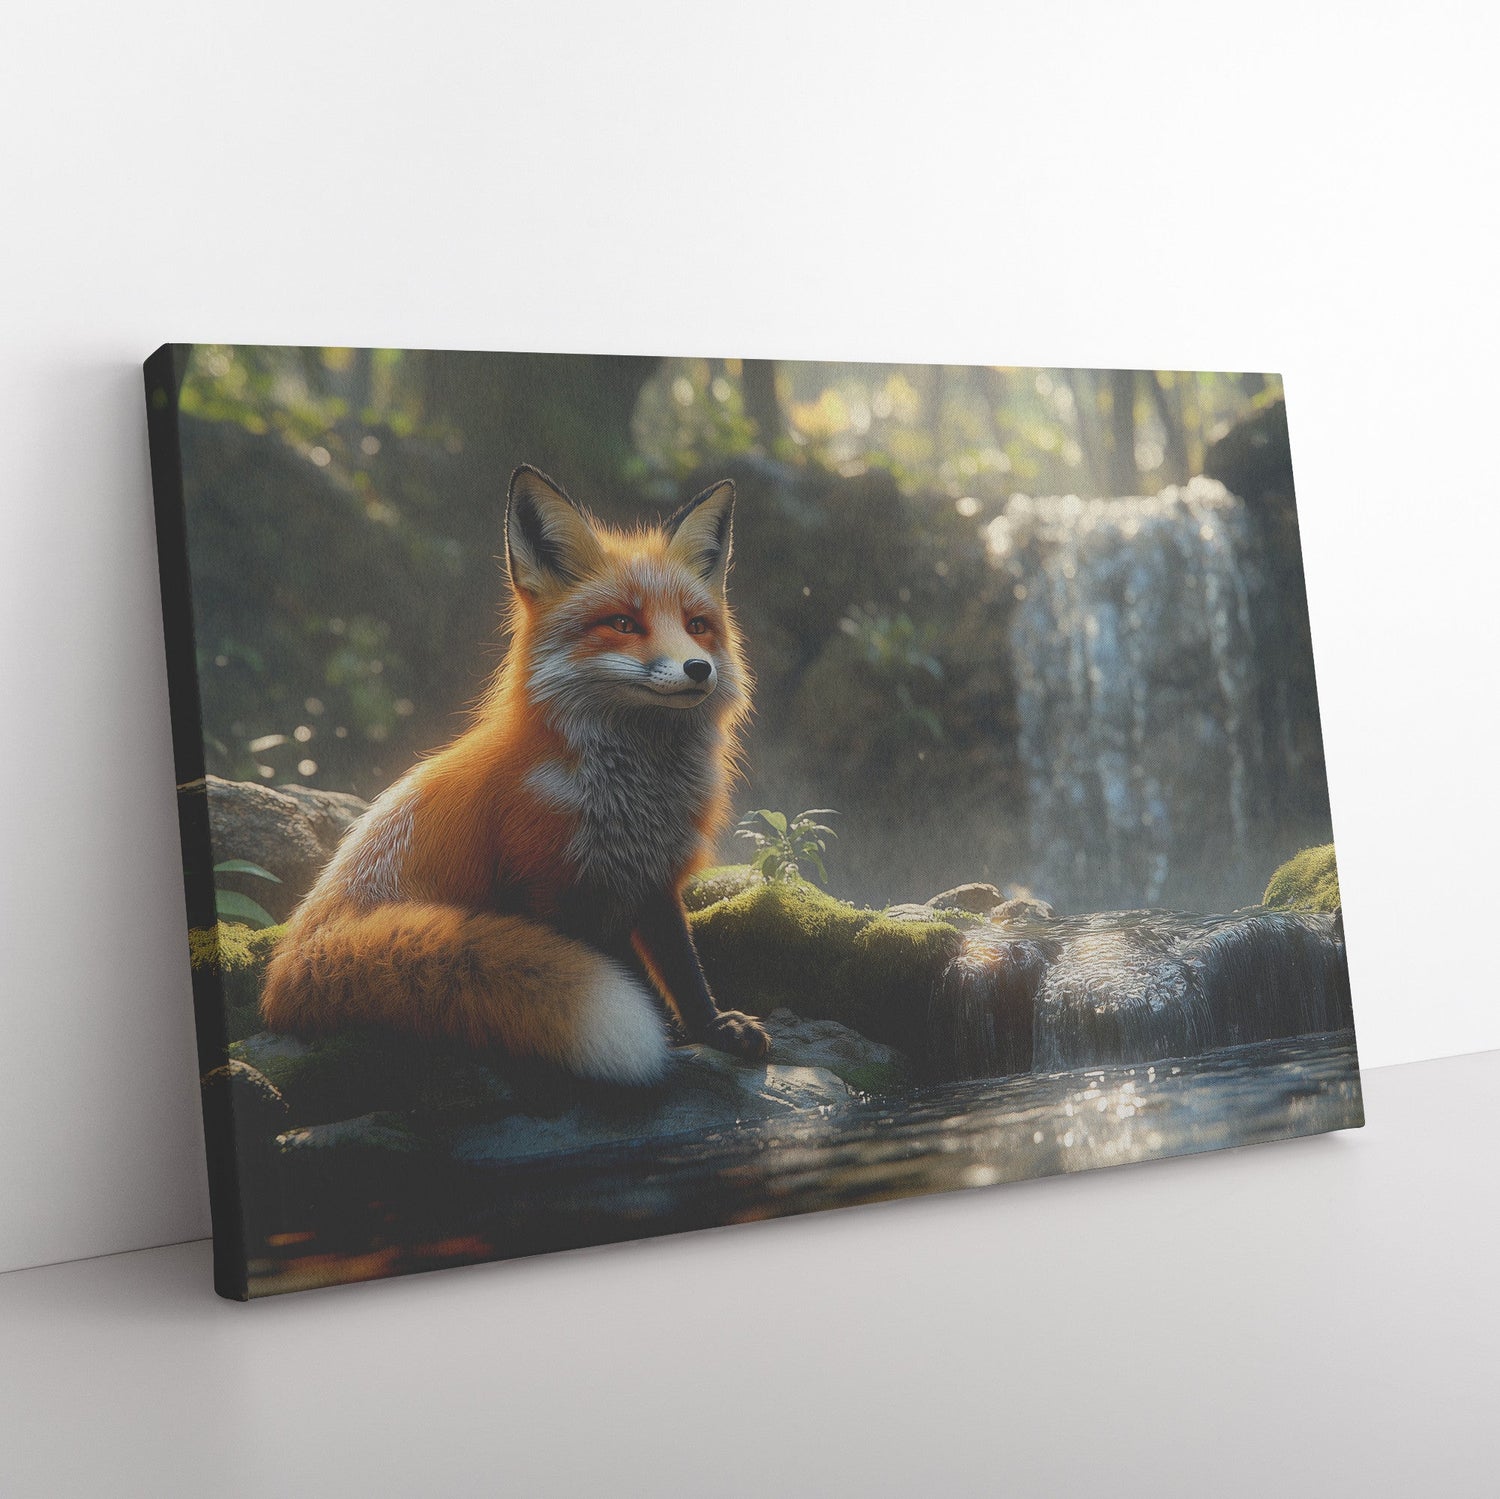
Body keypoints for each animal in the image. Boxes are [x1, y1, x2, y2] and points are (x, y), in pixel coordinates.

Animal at [260, 464, 771, 1085]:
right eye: (623, 623)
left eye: (697, 625)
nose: (699, 668)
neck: (629, 795)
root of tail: (289, 962)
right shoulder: (548, 888)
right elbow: (618, 966)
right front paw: (667, 1031)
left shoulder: (652, 878)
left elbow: (684, 970)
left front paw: (714, 1028)